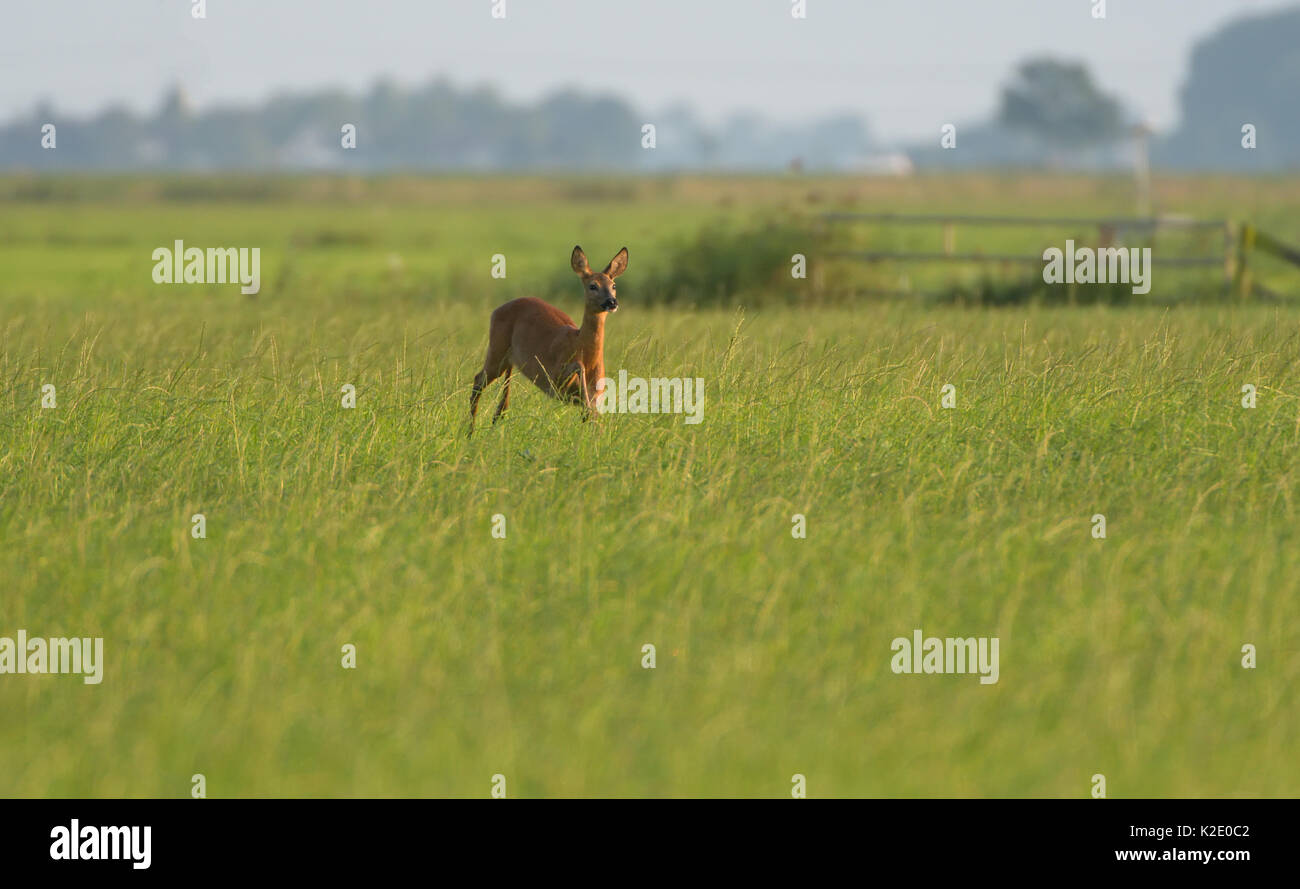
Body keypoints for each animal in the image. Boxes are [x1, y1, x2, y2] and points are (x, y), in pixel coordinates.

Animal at [468, 245, 627, 435]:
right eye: (592, 286)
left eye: (613, 285)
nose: (612, 302)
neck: (581, 346)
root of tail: (497, 310)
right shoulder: (555, 380)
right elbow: (577, 370)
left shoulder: (597, 397)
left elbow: (593, 420)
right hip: (496, 351)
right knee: (478, 381)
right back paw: (469, 432)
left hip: (508, 361)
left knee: (502, 401)